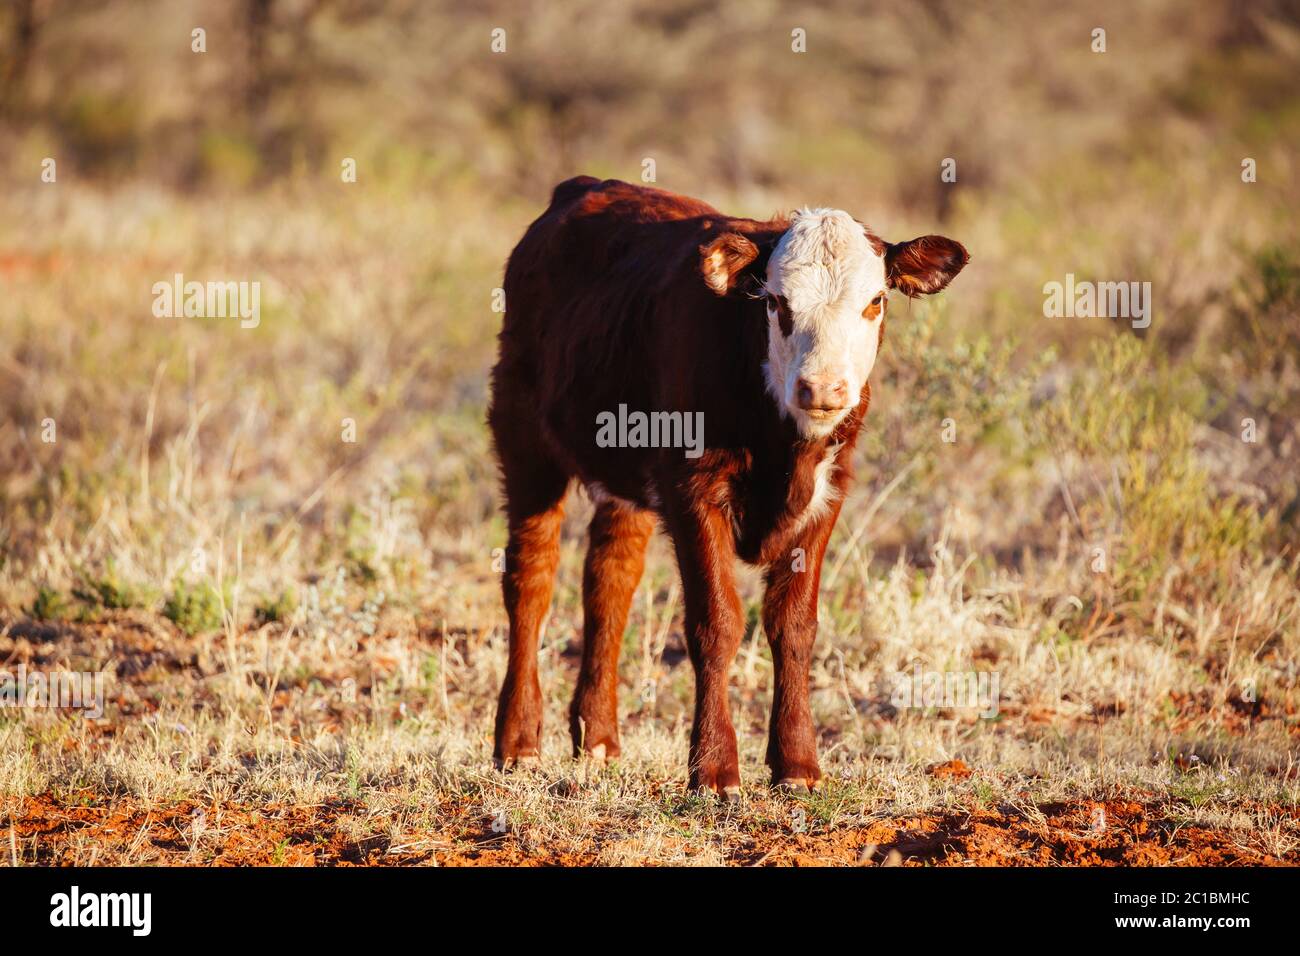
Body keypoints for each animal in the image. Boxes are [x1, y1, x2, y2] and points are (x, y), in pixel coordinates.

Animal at [489, 176, 968, 797]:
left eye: (875, 301)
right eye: (775, 302)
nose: (822, 389)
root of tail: (585, 187)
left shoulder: (827, 496)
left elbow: (794, 626)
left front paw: (798, 765)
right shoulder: (692, 486)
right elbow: (716, 623)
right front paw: (714, 770)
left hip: (623, 474)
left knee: (609, 581)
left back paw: (598, 739)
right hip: (523, 434)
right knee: (531, 577)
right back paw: (518, 742)